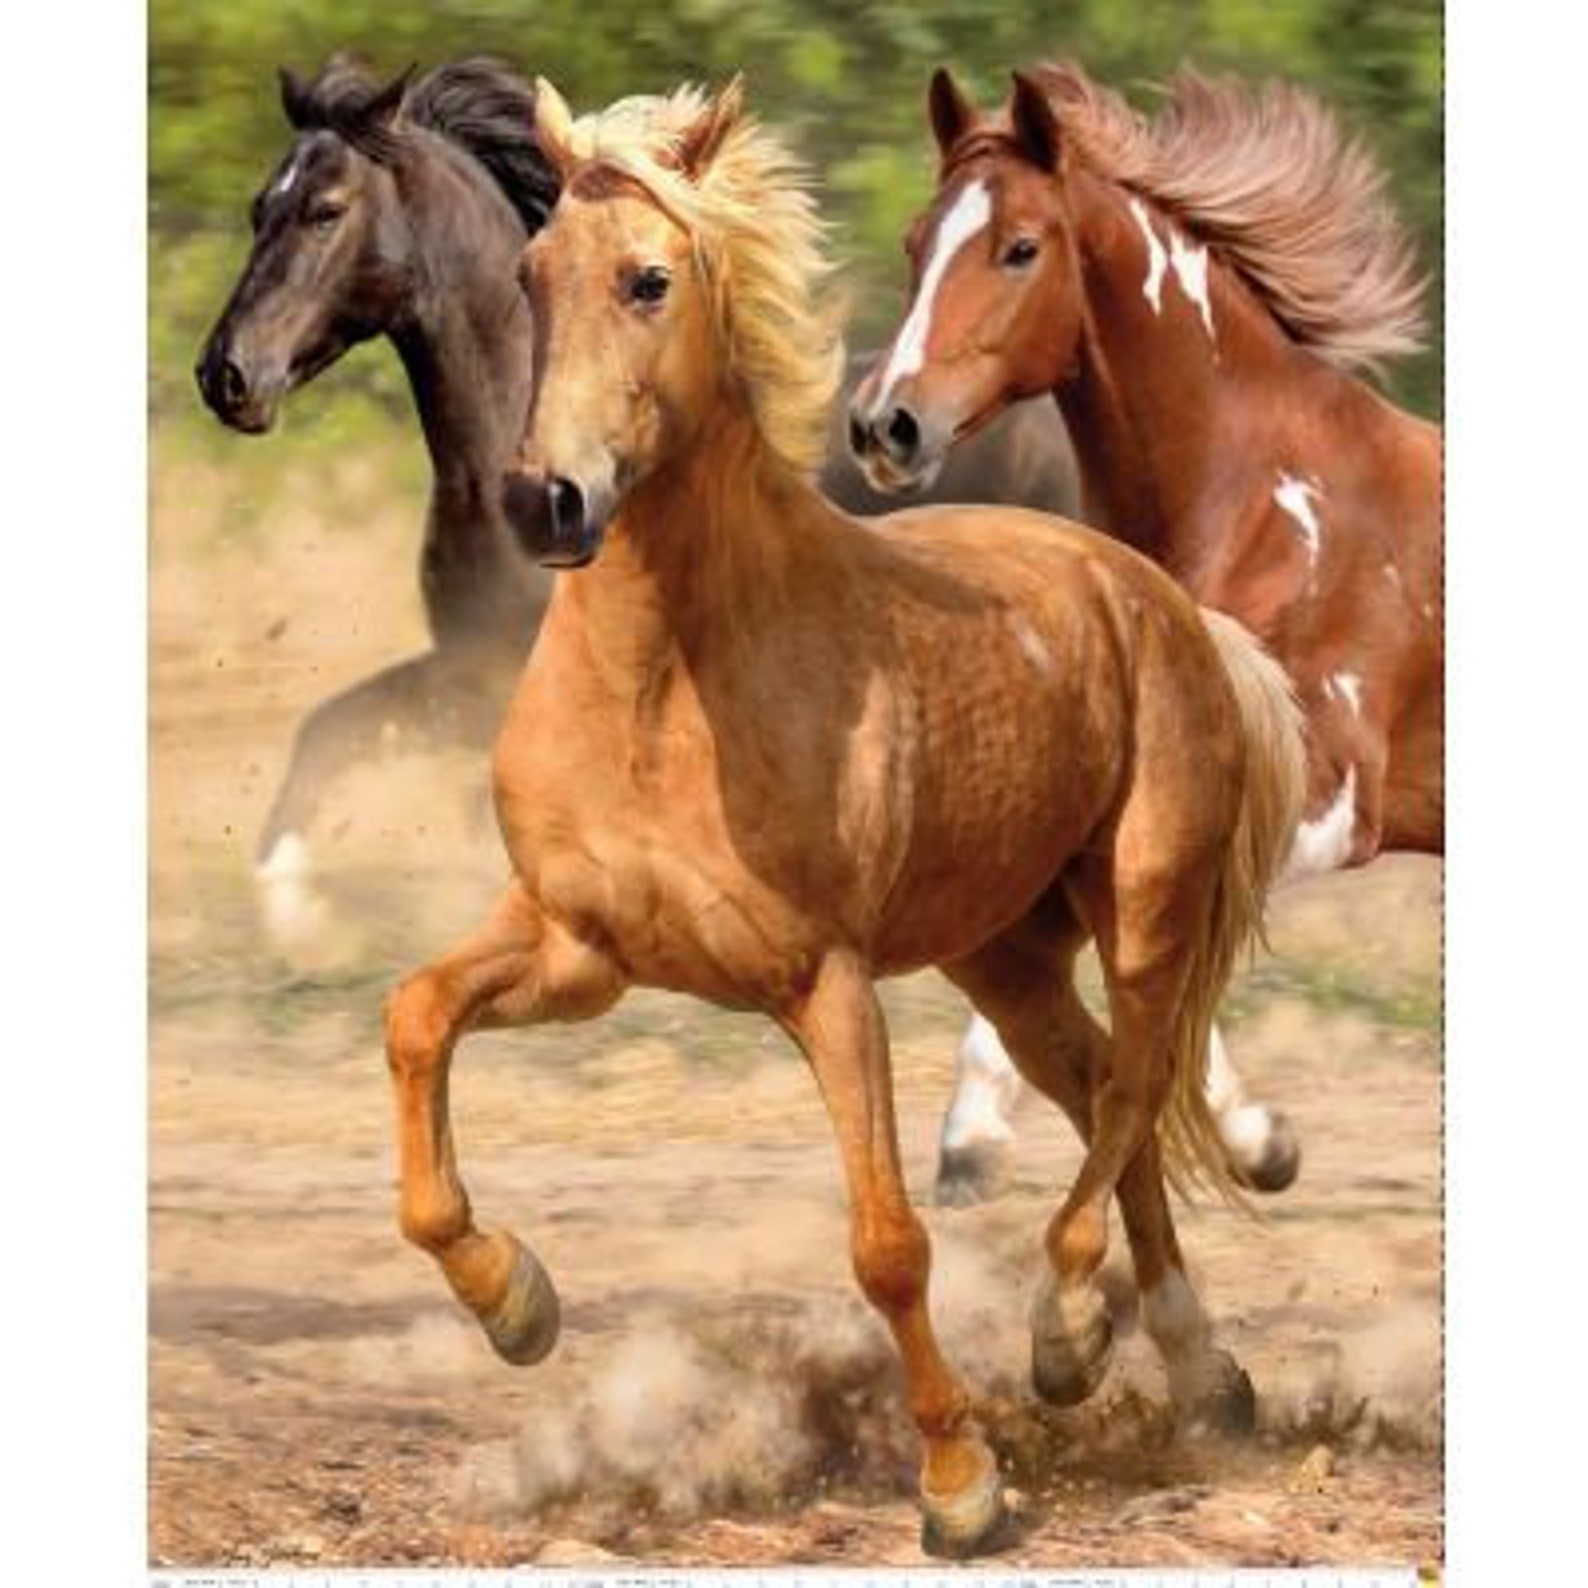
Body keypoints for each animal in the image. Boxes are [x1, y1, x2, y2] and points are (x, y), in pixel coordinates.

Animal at [193, 57, 1078, 954]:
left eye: (326, 210)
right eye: (260, 208)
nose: (225, 374)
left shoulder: (510, 678)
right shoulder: (468, 660)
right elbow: (332, 728)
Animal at [382, 78, 1306, 1558]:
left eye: (649, 280)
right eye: (530, 276)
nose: (546, 500)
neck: (664, 686)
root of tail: (1162, 601)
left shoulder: (825, 982)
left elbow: (887, 1240)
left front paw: (962, 1487)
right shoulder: (582, 948)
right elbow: (415, 1016)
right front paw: (512, 1298)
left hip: (1145, 908)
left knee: (1129, 1094)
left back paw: (1069, 1336)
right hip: (1006, 955)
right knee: (1099, 1088)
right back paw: (1196, 1373)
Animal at [849, 64, 1443, 1210]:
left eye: (1020, 247)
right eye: (914, 240)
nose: (884, 425)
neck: (1271, 508)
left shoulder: (1331, 797)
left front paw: (1252, 1142)